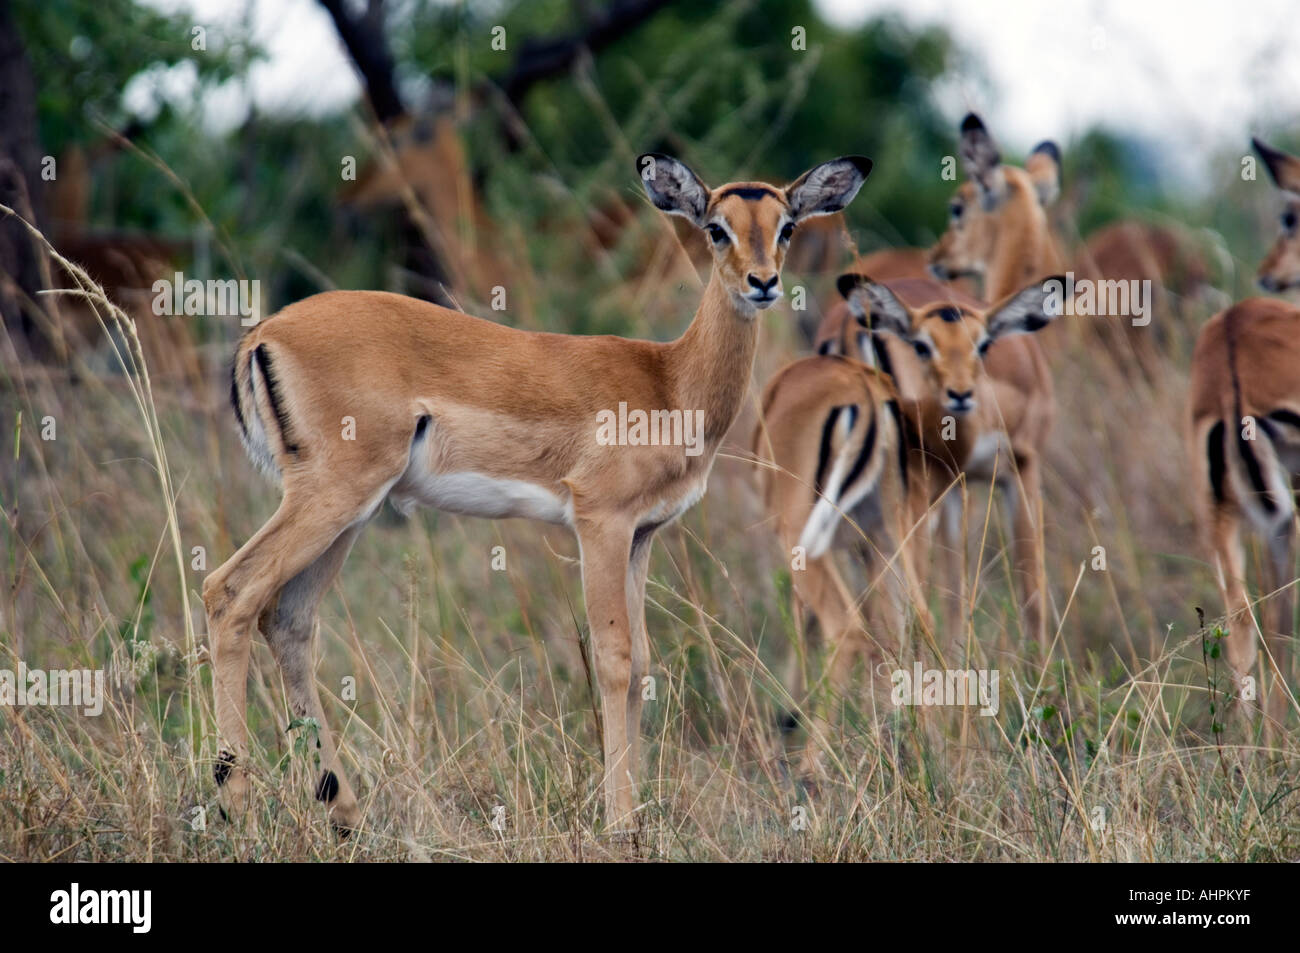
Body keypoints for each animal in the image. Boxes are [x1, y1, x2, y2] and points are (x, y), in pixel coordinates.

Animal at [205, 151, 872, 832]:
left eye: (786, 225)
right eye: (717, 228)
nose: (763, 282)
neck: (669, 382)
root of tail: (263, 333)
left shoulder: (641, 536)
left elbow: (642, 663)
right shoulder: (600, 522)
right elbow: (613, 658)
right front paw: (620, 821)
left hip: (351, 514)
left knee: (288, 618)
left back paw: (344, 812)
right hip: (332, 497)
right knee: (229, 592)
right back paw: (235, 803)